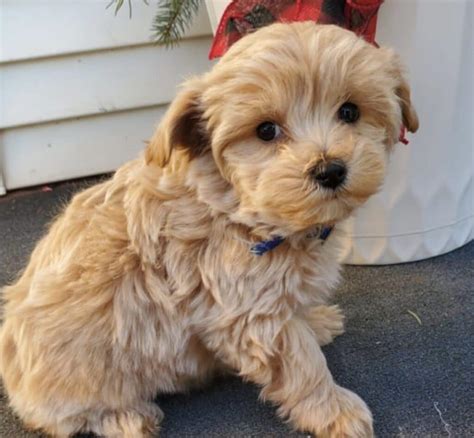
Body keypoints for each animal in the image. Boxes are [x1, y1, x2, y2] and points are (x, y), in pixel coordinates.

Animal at [0, 22, 418, 437]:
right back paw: (127, 417)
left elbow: (298, 321)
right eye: (266, 131)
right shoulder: (248, 311)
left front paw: (314, 321)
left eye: (350, 111)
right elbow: (302, 362)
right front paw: (333, 410)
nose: (330, 170)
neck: (238, 210)